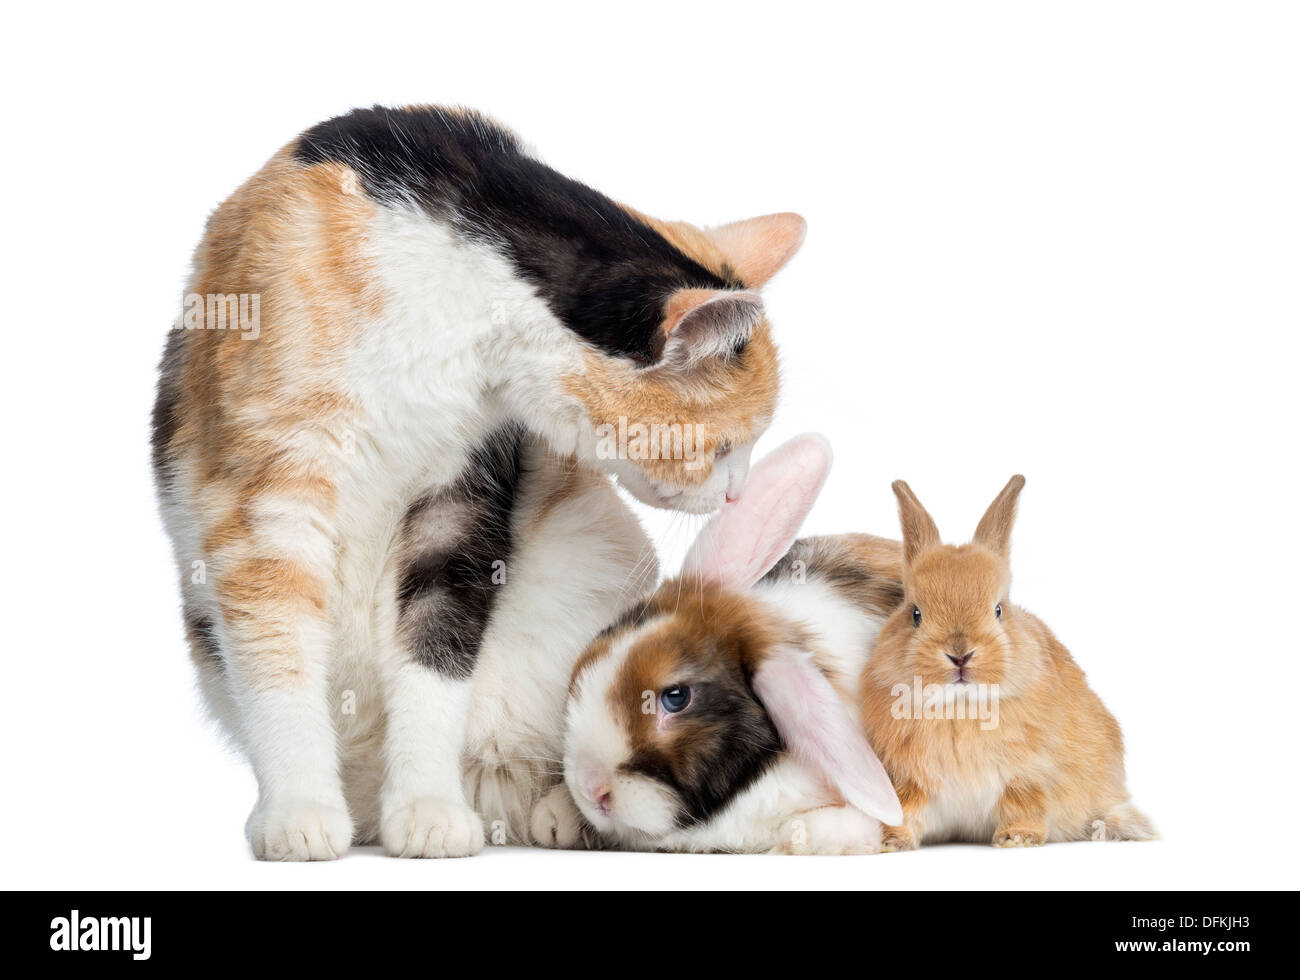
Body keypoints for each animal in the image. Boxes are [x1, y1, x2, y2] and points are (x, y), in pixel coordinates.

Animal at [860, 475, 1156, 849]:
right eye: (915, 614)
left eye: (999, 610)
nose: (960, 655)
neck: (961, 709)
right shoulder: (907, 780)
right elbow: (904, 809)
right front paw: (890, 842)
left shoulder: (1029, 776)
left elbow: (1025, 805)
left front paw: (1017, 838)